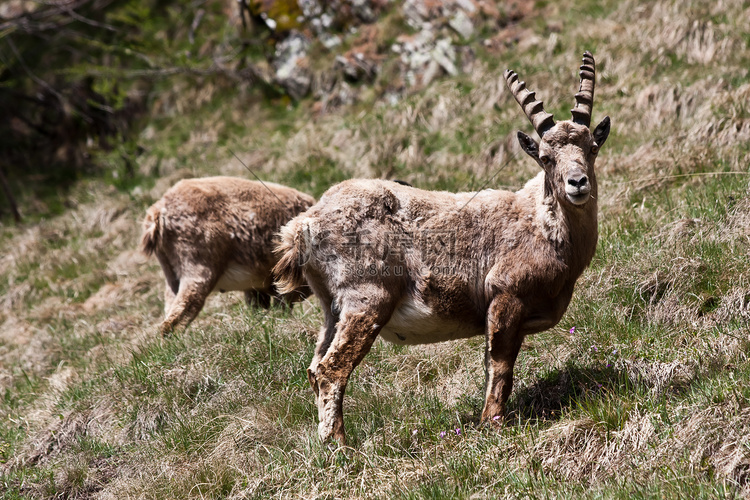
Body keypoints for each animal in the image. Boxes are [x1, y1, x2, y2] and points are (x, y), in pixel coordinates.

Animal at [141, 176, 315, 335]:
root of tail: (157, 216)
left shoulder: (255, 285)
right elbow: (282, 304)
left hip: (170, 274)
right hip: (197, 267)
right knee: (177, 315)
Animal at [273, 52, 611, 445]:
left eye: (591, 148)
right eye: (545, 157)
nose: (577, 183)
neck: (541, 225)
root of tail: (305, 224)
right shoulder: (505, 296)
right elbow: (500, 367)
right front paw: (492, 425)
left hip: (331, 306)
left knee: (315, 367)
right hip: (367, 298)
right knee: (332, 369)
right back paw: (340, 446)